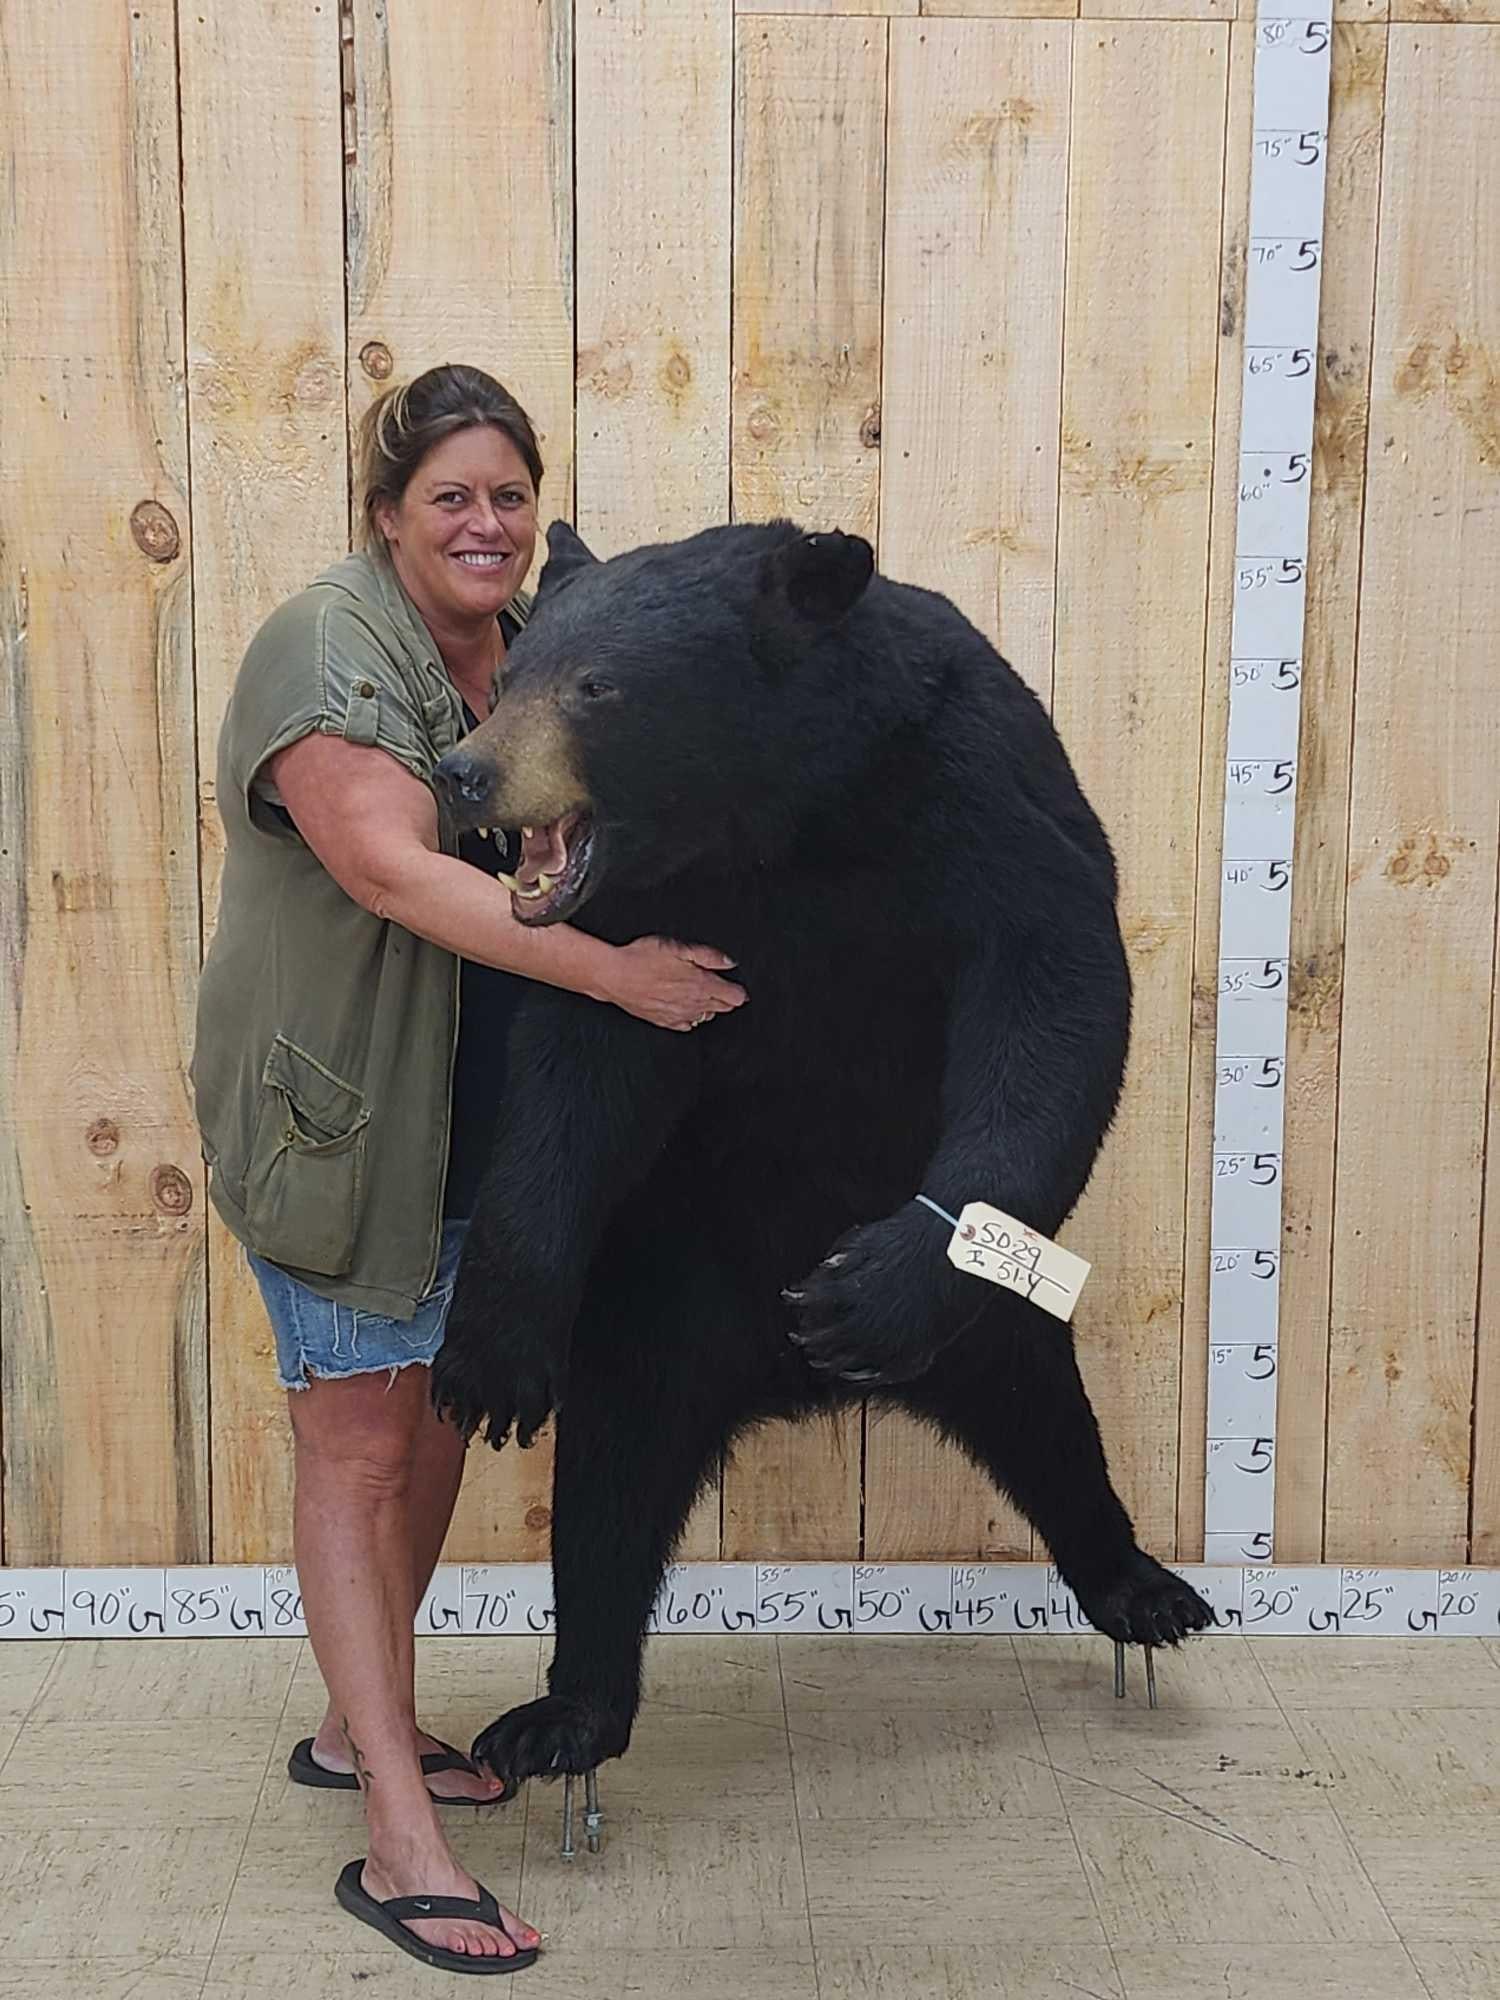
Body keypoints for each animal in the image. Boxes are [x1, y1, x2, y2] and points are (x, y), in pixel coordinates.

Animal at [429, 517, 1212, 1794]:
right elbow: (568, 1076)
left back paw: (1141, 1587)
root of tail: (786, 1383)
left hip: (988, 1326)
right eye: (508, 679)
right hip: (654, 1311)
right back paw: (566, 1712)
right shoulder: (639, 932)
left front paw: (871, 1282)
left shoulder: (976, 791)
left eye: (596, 687)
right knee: (607, 1490)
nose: (463, 771)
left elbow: (1056, 986)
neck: (776, 818)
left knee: (1055, 1429)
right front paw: (490, 1352)